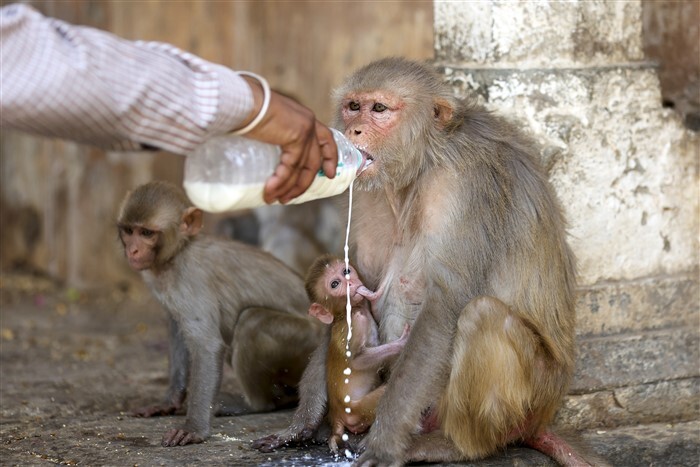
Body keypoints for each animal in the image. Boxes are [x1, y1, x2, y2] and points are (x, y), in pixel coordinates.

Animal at [117, 181, 321, 447]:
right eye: (129, 231)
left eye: (147, 234)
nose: (133, 250)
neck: (178, 252)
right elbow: (177, 327)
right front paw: (169, 402)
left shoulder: (190, 278)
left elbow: (206, 344)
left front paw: (193, 428)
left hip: (307, 344)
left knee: (252, 322)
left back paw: (253, 404)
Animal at [304, 254, 409, 453]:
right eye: (335, 284)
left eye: (346, 271)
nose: (350, 283)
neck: (352, 311)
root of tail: (336, 415)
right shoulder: (355, 325)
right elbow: (357, 360)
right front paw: (401, 344)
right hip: (357, 410)